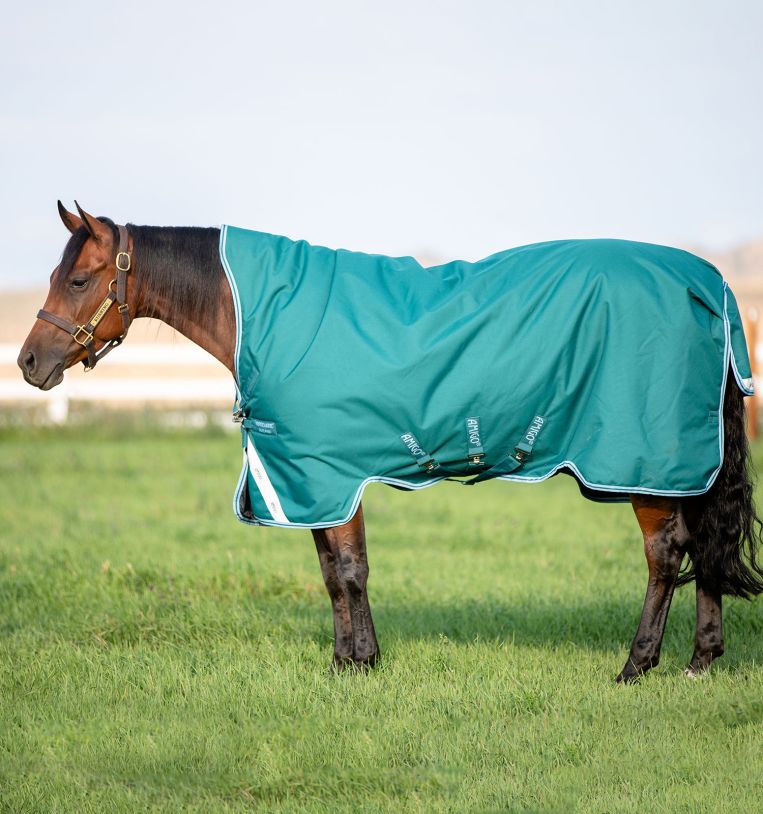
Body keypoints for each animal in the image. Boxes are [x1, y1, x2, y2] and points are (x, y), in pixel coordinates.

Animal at [18, 201, 763, 682]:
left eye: (77, 279)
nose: (28, 363)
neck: (263, 315)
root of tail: (712, 285)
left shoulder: (325, 472)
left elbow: (348, 570)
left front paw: (355, 665)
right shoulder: (317, 478)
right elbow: (333, 571)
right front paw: (351, 660)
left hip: (644, 463)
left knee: (666, 554)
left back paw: (637, 665)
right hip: (680, 465)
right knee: (702, 547)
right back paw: (700, 661)